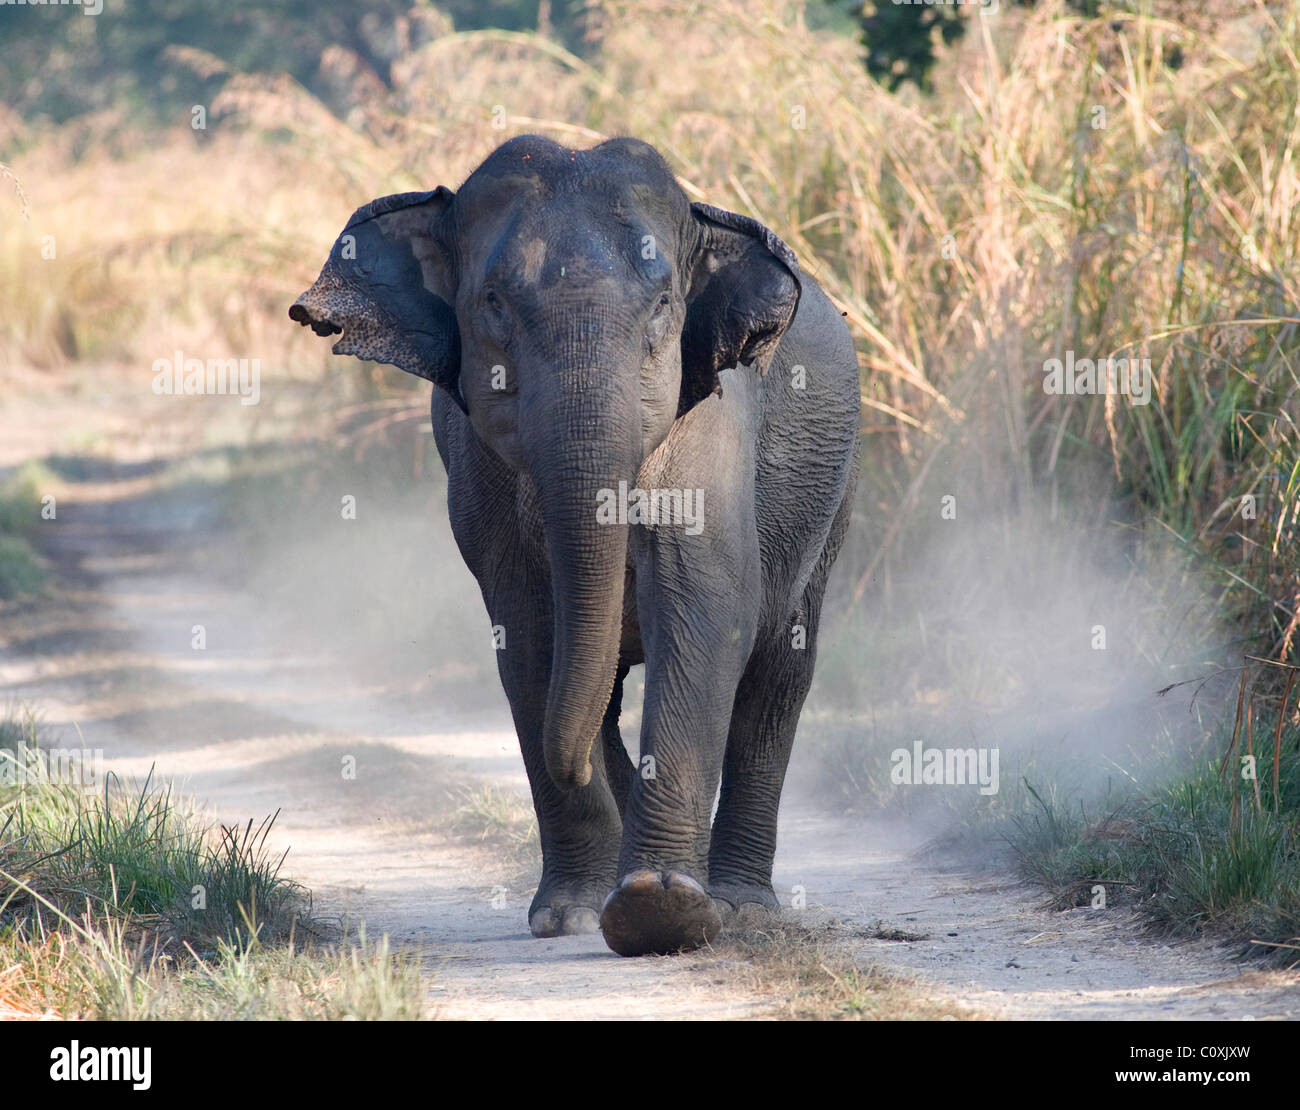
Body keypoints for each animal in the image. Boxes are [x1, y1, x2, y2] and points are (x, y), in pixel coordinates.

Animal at [290, 135, 860, 957]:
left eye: (663, 306)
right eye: (494, 303)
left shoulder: (708, 419)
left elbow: (703, 607)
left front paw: (662, 910)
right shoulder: (477, 465)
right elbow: (529, 632)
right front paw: (572, 916)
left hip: (834, 497)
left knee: (779, 673)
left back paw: (744, 907)